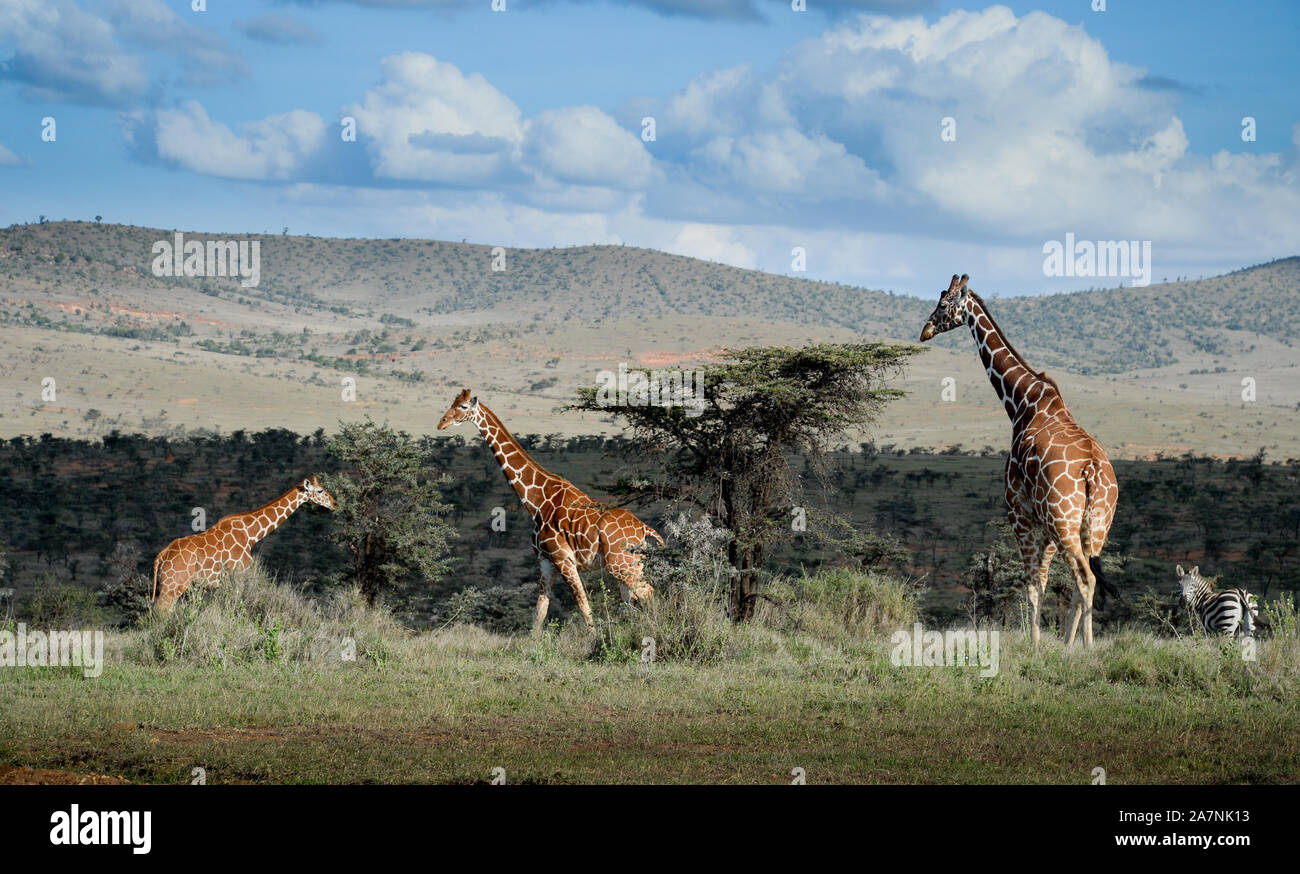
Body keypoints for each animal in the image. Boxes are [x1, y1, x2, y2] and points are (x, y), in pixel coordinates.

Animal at [152, 476, 337, 610]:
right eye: (320, 490)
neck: (251, 535)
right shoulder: (240, 573)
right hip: (173, 586)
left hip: (166, 586)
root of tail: (160, 557)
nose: (335, 503)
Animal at [437, 389, 662, 632]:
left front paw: (595, 638)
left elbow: (583, 606)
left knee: (647, 593)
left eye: (462, 407)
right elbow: (539, 613)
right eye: (452, 402)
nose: (442, 423)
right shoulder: (545, 562)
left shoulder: (564, 559)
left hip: (620, 563)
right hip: (630, 562)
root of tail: (644, 529)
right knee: (633, 599)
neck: (535, 500)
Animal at [920, 274, 1119, 647]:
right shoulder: (1043, 522)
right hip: (1095, 525)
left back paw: (1087, 647)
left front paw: (1035, 644)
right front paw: (1051, 644)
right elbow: (1042, 582)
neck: (1022, 402)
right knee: (1084, 579)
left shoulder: (1019, 511)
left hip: (1064, 522)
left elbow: (1033, 584)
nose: (925, 331)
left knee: (1085, 578)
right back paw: (1073, 645)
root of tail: (1092, 470)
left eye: (943, 304)